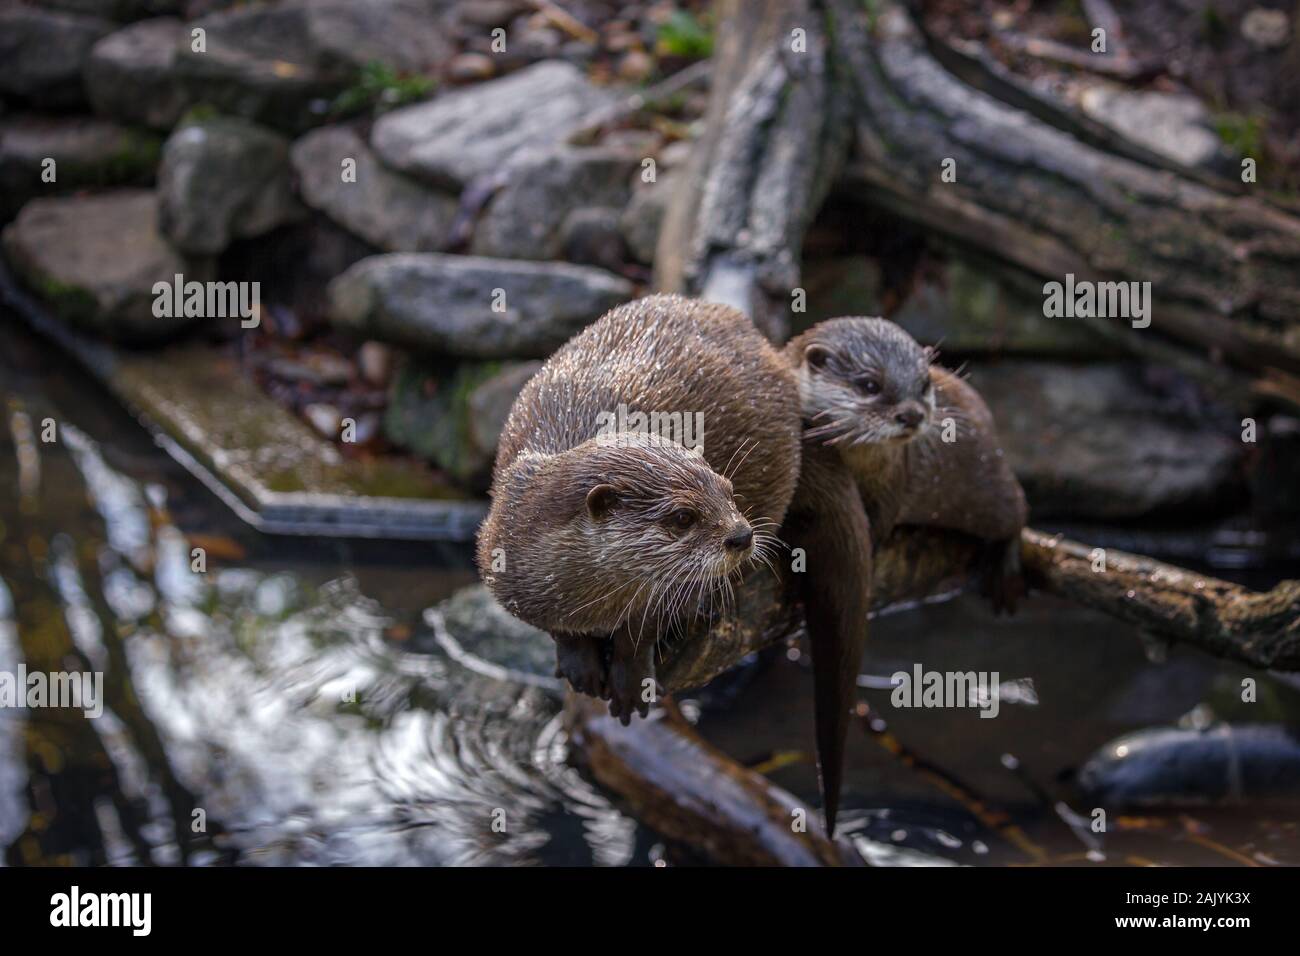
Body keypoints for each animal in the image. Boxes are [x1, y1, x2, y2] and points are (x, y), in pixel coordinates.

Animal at [478, 294, 802, 724]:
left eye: (729, 492)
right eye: (683, 517)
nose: (741, 536)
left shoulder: (666, 594)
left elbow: (640, 635)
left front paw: (631, 683)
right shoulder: (507, 570)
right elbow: (557, 629)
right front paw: (579, 664)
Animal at [785, 317, 1028, 610]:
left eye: (924, 384)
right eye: (870, 385)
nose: (912, 414)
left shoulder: (891, 480)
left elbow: (878, 522)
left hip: (987, 481)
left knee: (1016, 507)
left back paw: (1005, 569)